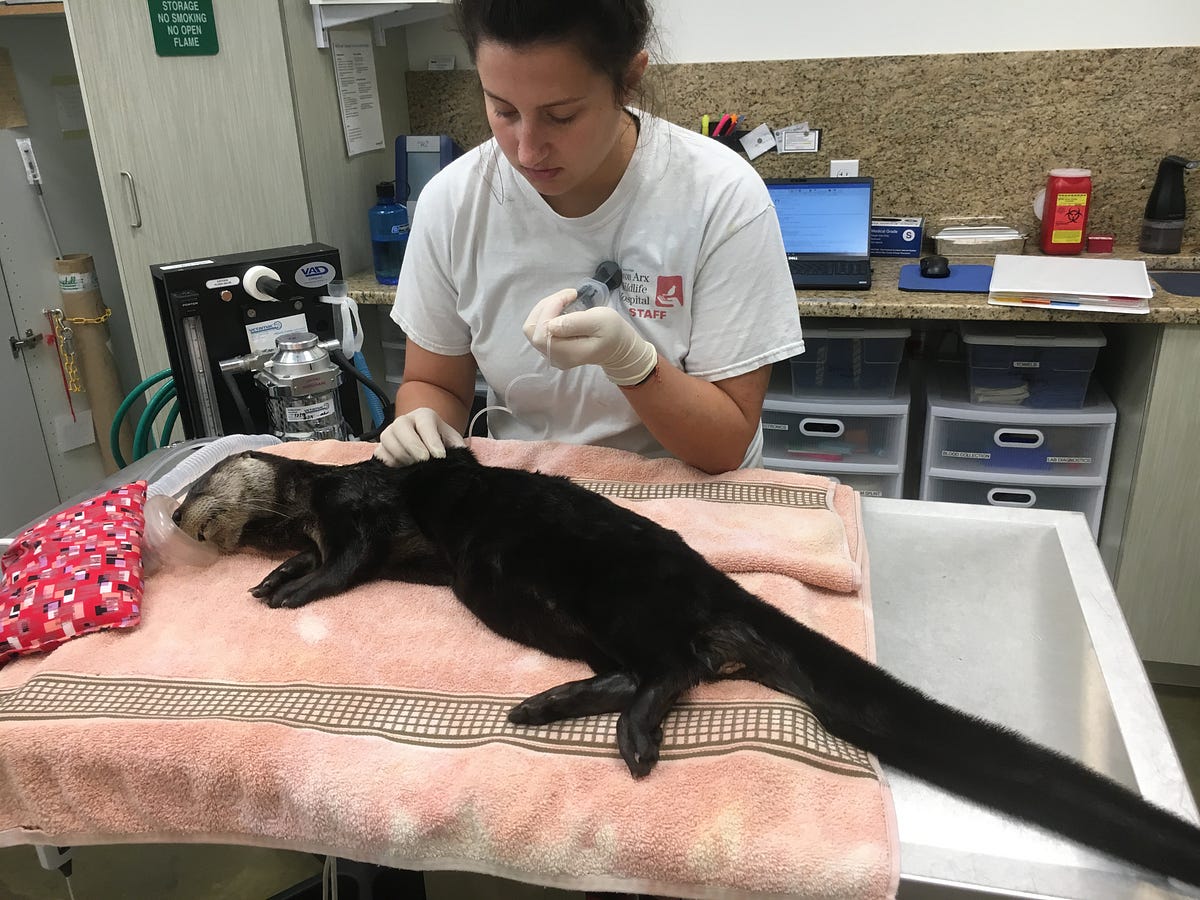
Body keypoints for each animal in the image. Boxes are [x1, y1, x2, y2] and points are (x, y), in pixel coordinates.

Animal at [175, 447, 1200, 887]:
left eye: (192, 486)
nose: (178, 517)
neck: (312, 495)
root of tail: (710, 585)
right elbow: (309, 559)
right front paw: (271, 574)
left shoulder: (360, 516)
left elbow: (343, 562)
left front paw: (287, 591)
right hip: (588, 622)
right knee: (655, 669)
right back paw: (547, 706)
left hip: (616, 599)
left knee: (671, 669)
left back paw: (626, 739)